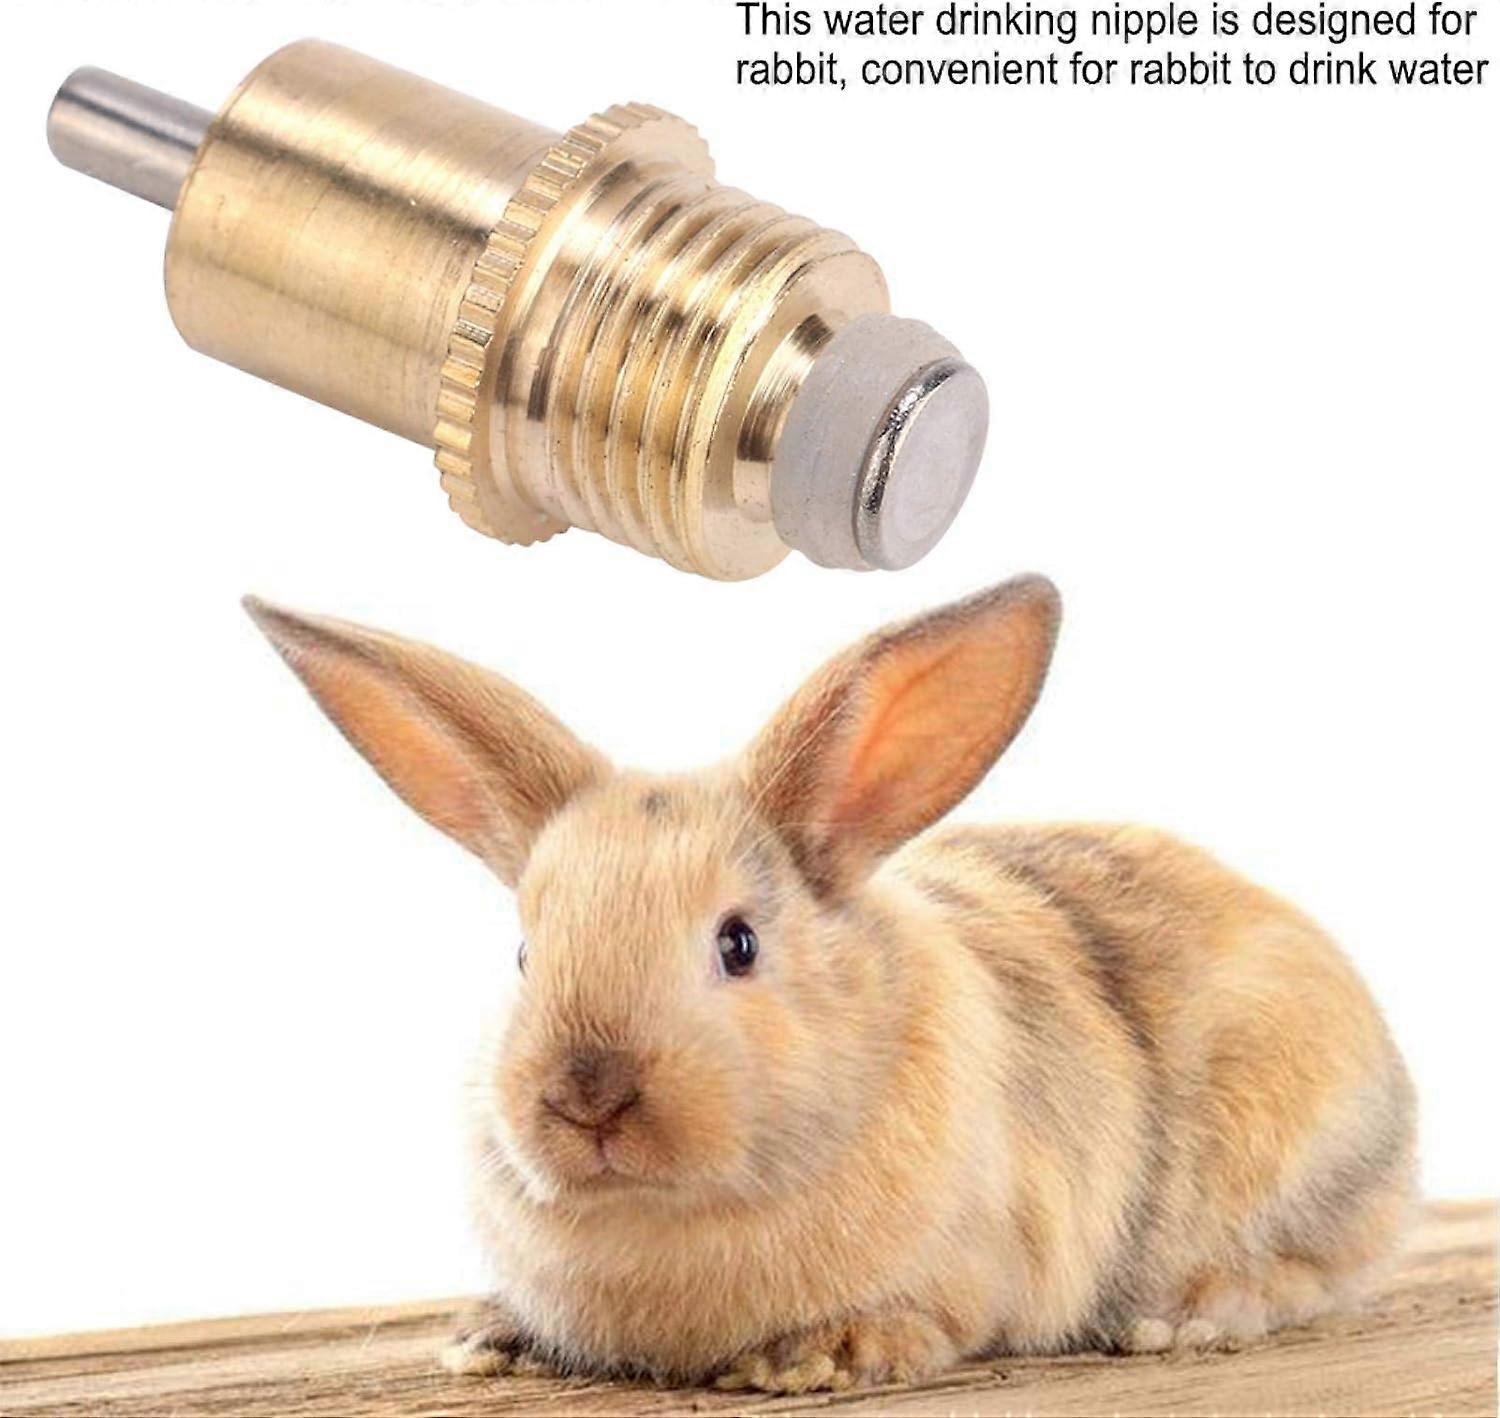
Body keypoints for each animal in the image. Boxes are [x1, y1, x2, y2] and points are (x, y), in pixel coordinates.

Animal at [244, 574, 1415, 1394]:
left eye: (738, 944)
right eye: (525, 951)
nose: (587, 1096)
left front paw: (819, 1355)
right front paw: (488, 1333)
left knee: (1310, 1272)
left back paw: (1186, 1313)